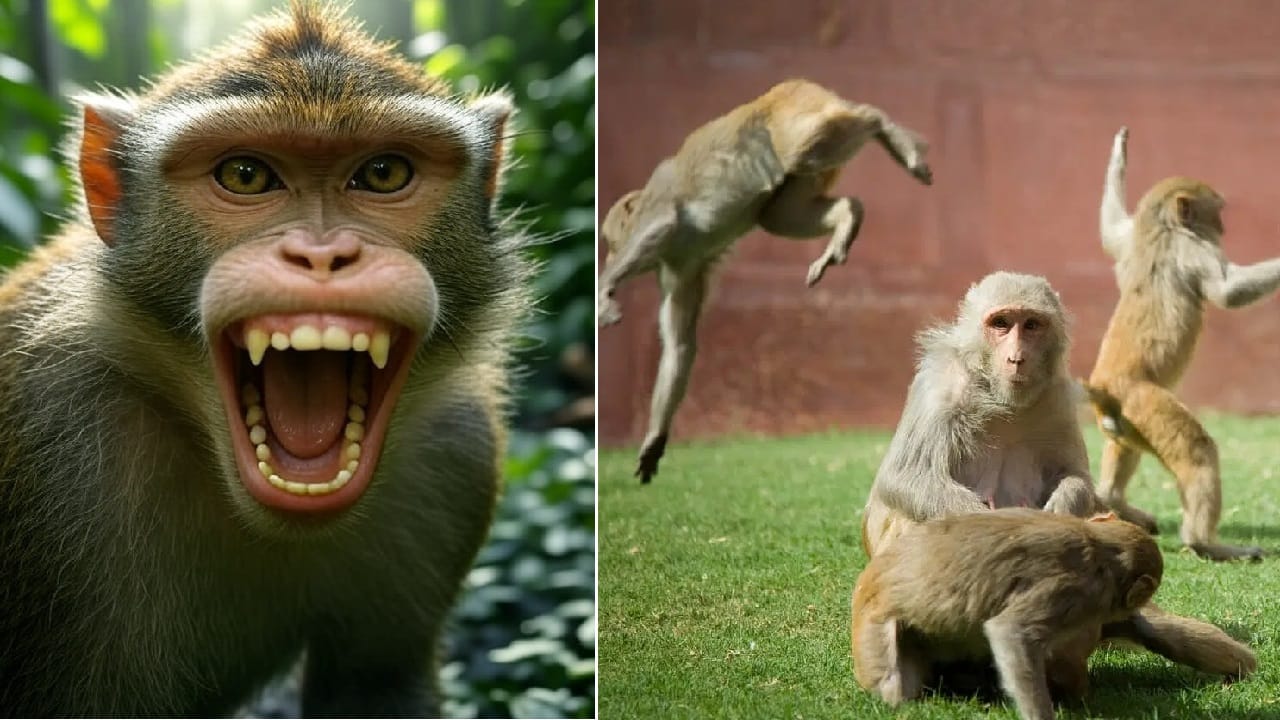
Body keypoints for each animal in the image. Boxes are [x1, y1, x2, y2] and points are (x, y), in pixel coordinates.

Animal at [0, 3, 530, 716]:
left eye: (383, 173)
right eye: (246, 176)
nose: (322, 255)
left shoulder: (456, 457)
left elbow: (378, 684)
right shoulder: (55, 428)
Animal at [598, 79, 933, 483]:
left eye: (610, 240)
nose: (610, 255)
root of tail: (787, 89)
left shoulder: (661, 213)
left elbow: (661, 225)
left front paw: (605, 289)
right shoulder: (681, 270)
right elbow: (680, 346)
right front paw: (654, 440)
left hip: (790, 122)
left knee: (811, 149)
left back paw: (884, 127)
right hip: (795, 170)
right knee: (778, 212)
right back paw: (848, 215)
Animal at [851, 509, 1256, 720]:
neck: (1099, 546)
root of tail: (869, 581)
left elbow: (1151, 630)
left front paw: (1242, 668)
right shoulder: (1078, 590)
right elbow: (1011, 632)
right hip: (872, 630)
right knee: (893, 685)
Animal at [861, 271, 1101, 558]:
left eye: (1031, 325)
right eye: (1001, 323)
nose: (1016, 358)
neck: (998, 392)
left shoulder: (1057, 399)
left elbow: (1076, 474)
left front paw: (1062, 506)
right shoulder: (940, 386)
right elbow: (904, 476)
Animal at [1085, 126, 1274, 562]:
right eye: (1216, 212)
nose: (1222, 226)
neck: (1163, 227)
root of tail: (1103, 387)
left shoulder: (1132, 236)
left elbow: (1110, 230)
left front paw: (1119, 152)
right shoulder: (1192, 249)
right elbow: (1229, 292)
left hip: (1125, 418)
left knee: (1123, 447)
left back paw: (1114, 503)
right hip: (1143, 400)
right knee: (1199, 453)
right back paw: (1206, 543)